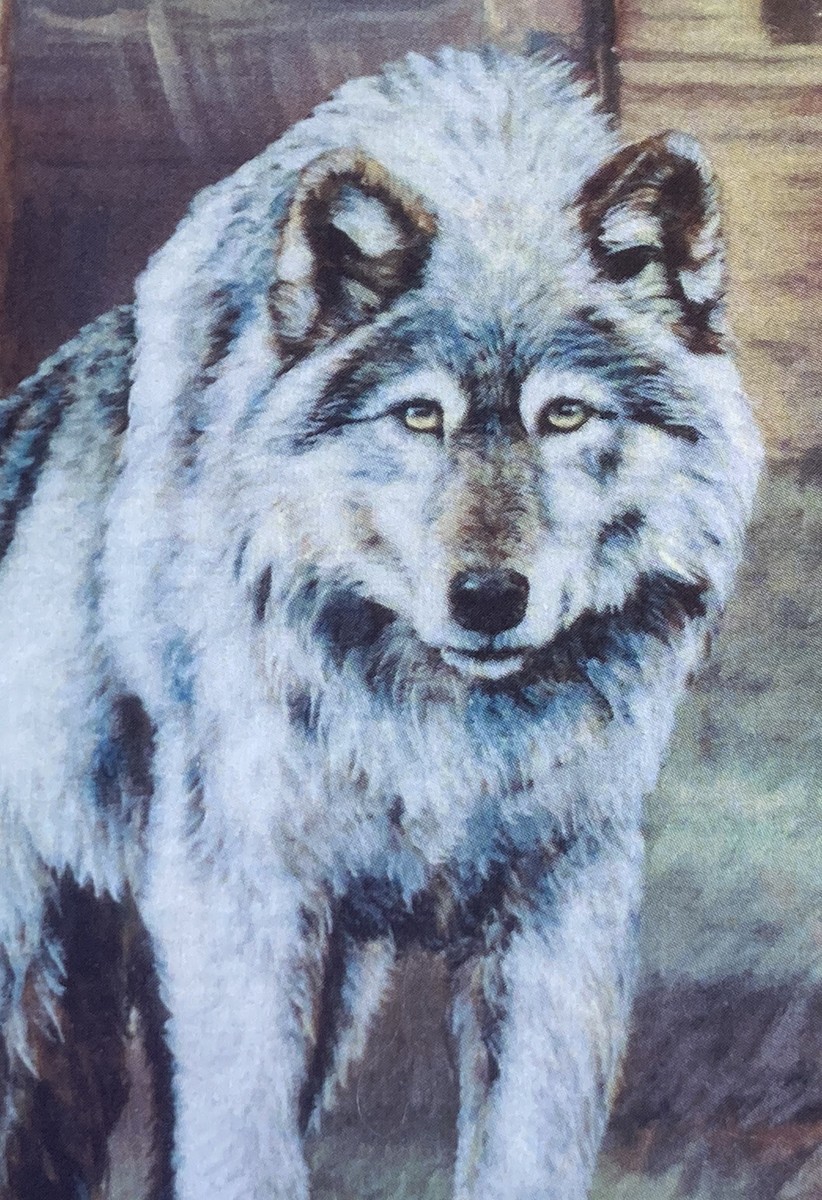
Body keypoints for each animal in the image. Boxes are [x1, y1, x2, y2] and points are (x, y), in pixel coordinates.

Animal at [0, 46, 761, 1200]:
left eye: (566, 414)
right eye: (419, 415)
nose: (488, 597)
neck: (445, 726)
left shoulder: (562, 912)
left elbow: (528, 1146)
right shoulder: (241, 907)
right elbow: (243, 1154)